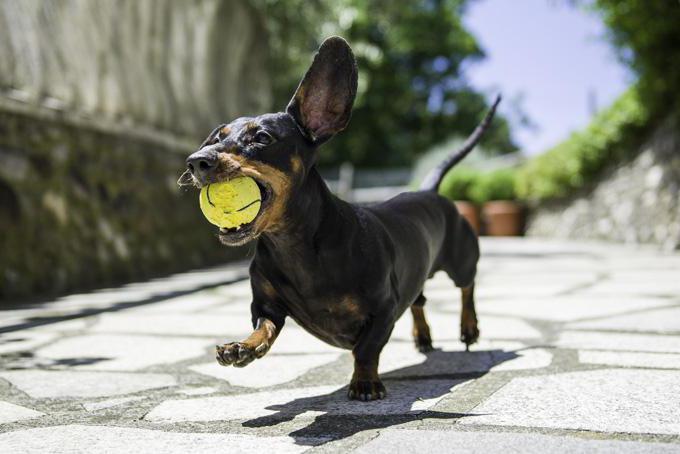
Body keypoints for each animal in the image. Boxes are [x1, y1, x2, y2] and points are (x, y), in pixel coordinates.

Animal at [183, 36, 502, 400]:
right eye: (216, 138)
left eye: (262, 138)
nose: (196, 161)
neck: (295, 247)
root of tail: (429, 190)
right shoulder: (266, 306)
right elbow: (264, 328)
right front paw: (243, 348)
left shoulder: (383, 308)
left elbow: (365, 349)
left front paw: (365, 382)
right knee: (420, 300)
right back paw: (422, 336)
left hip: (461, 259)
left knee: (467, 287)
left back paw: (469, 327)